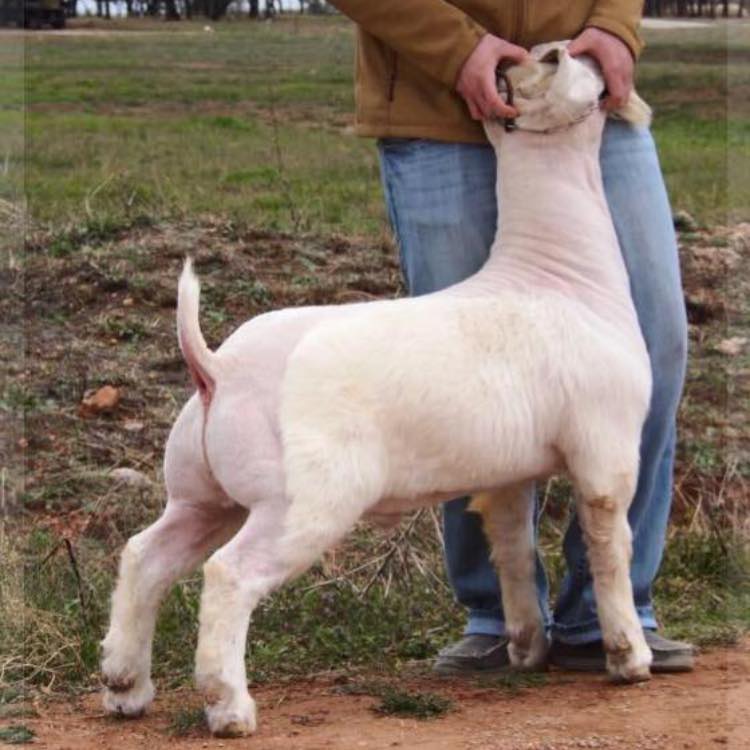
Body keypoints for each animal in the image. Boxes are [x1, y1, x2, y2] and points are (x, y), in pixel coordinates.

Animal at [101, 43, 654, 737]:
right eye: (561, 57)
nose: (599, 61)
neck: (553, 273)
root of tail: (218, 371)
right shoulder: (607, 451)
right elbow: (611, 549)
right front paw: (629, 655)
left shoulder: (505, 474)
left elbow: (512, 552)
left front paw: (527, 648)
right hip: (301, 505)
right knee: (229, 575)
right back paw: (228, 706)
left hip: (202, 497)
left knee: (144, 558)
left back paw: (125, 685)